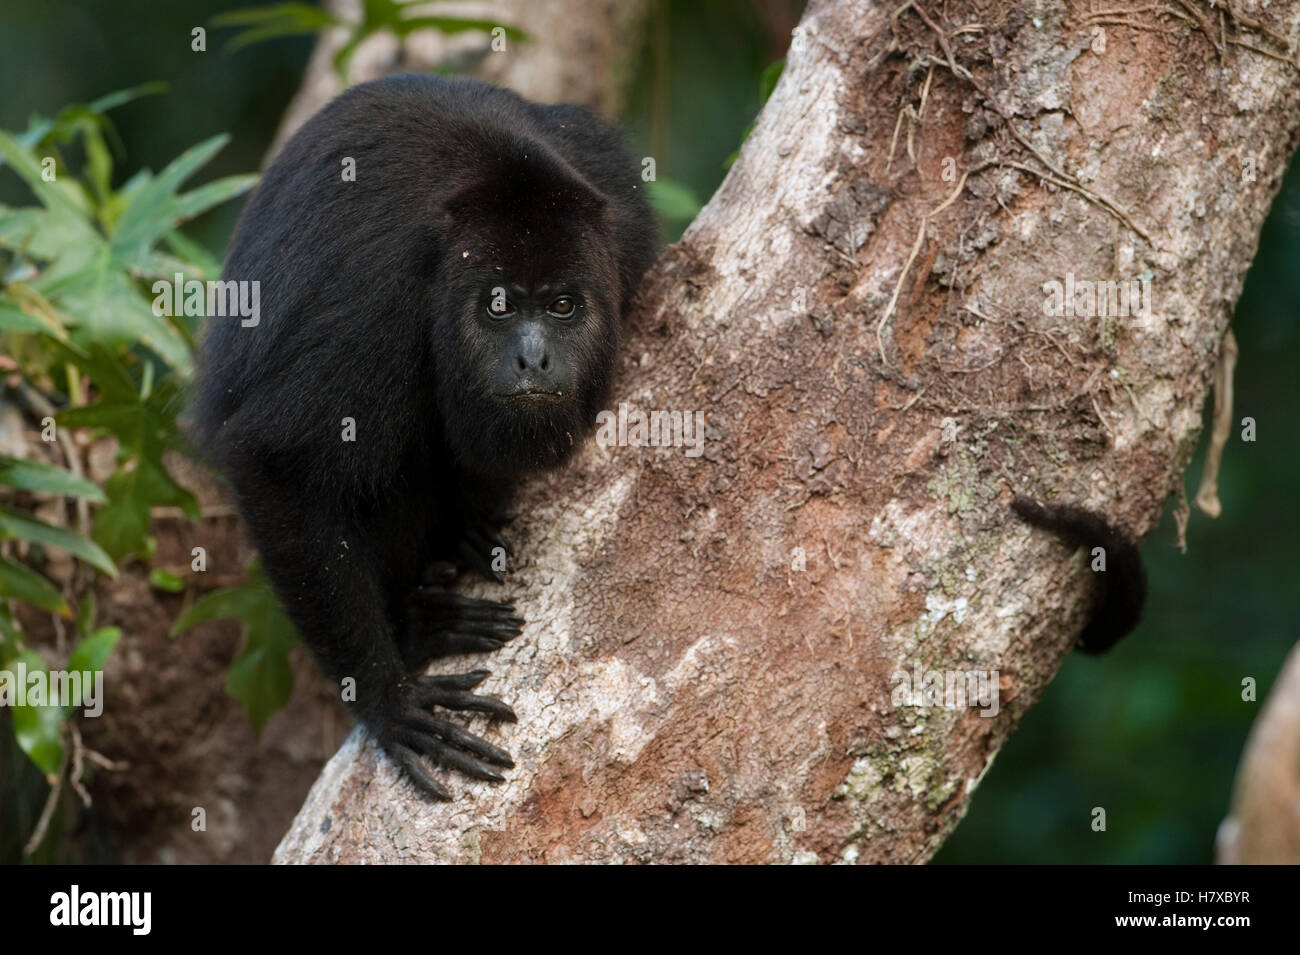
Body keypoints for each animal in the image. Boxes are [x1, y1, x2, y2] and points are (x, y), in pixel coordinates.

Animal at [191, 74, 659, 799]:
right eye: (498, 305)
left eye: (562, 305)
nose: (533, 357)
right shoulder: (374, 301)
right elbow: (278, 464)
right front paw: (390, 699)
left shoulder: (623, 226)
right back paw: (422, 622)